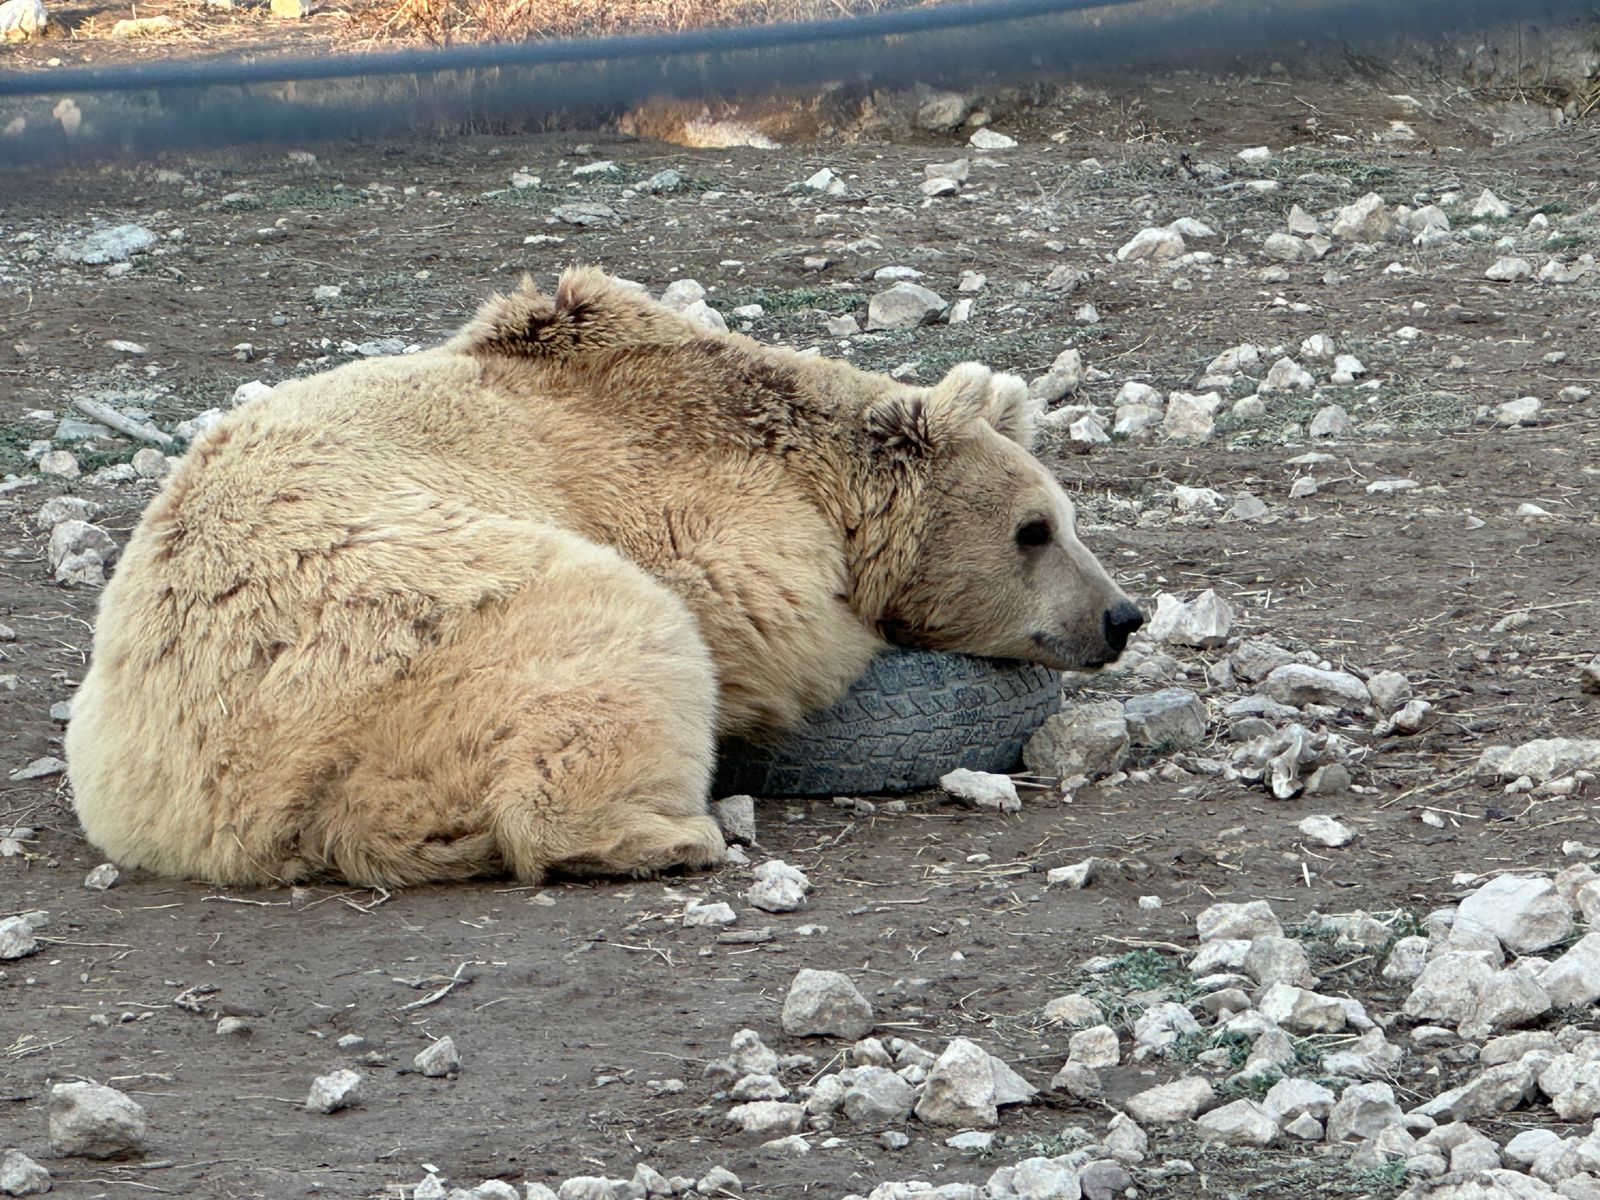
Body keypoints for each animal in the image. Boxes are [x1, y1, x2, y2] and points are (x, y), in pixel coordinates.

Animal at [64, 266, 1143, 888]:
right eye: (1033, 530)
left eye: (1064, 520)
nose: (1120, 616)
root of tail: (226, 811)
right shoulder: (685, 495)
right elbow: (754, 618)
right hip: (421, 614)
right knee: (626, 641)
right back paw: (667, 836)